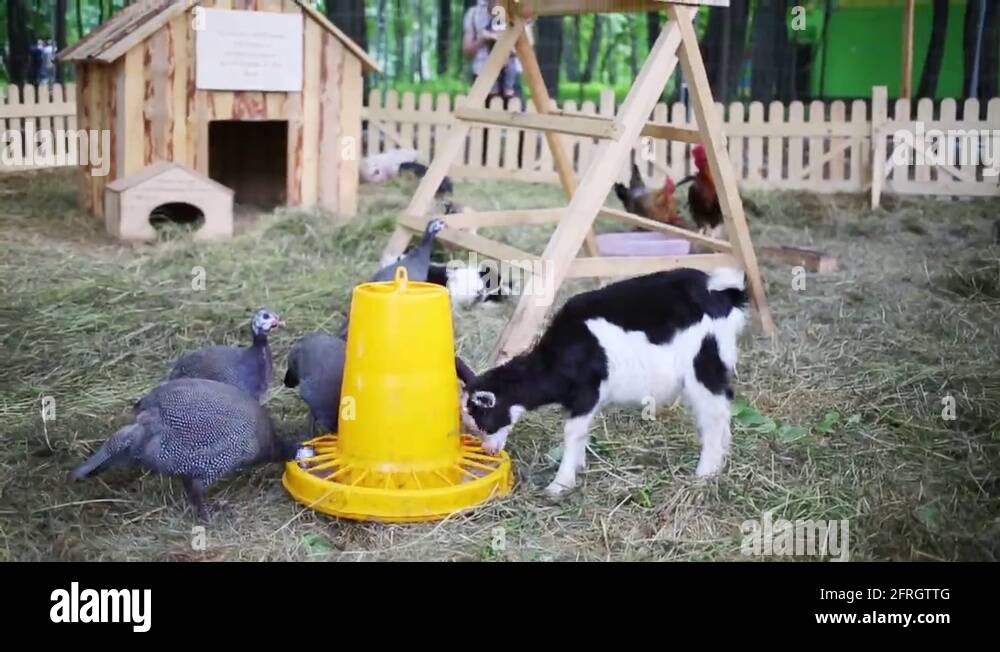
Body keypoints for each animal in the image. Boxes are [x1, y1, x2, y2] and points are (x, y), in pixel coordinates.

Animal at [455, 267, 748, 498]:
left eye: (483, 419)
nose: (489, 451)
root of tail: (724, 293)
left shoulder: (587, 392)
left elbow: (573, 432)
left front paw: (560, 483)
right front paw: (577, 466)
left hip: (703, 364)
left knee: (714, 415)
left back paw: (705, 473)